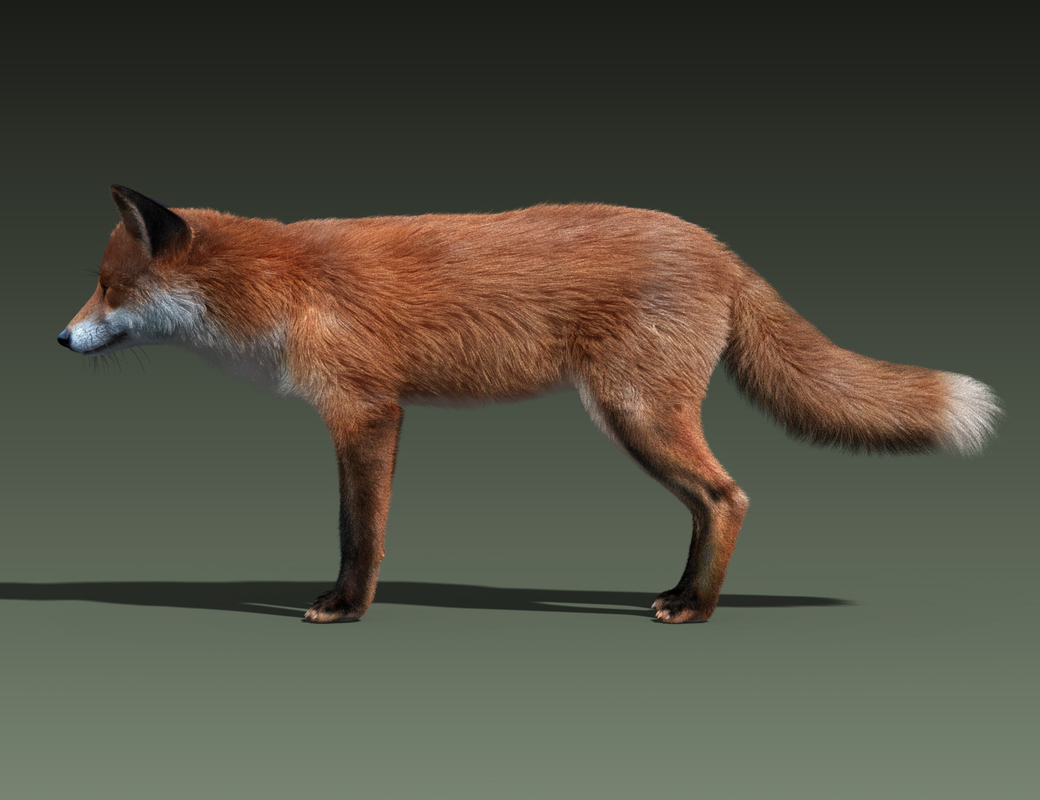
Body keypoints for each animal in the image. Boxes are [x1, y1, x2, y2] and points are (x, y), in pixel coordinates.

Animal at [59, 185, 1000, 624]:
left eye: (111, 288)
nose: (59, 340)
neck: (285, 287)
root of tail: (718, 246)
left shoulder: (368, 411)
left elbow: (361, 531)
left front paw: (347, 606)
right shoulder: (368, 416)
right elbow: (358, 526)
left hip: (637, 415)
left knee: (728, 495)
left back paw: (697, 608)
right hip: (636, 420)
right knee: (708, 504)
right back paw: (678, 592)